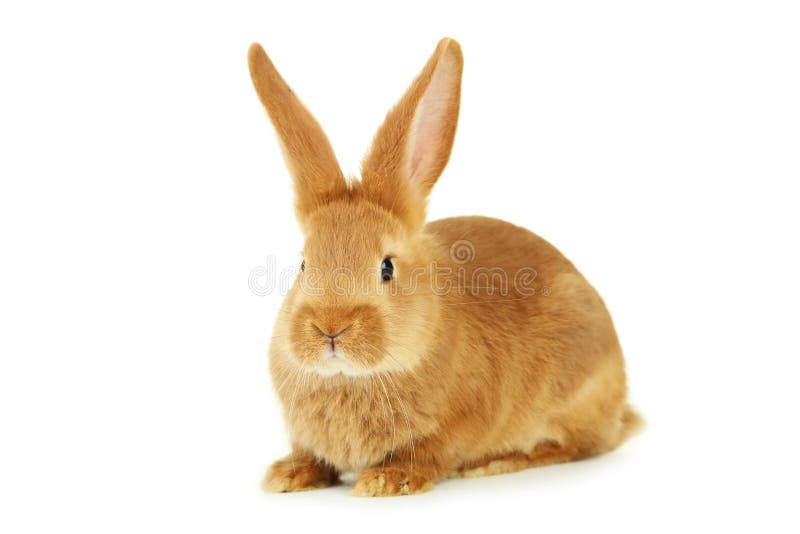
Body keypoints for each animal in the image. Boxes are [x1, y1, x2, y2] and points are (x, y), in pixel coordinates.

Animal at [248, 37, 641, 497]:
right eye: (304, 264)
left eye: (386, 268)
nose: (331, 327)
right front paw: (286, 474)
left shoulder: (460, 423)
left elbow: (429, 453)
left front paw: (386, 481)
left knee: (576, 445)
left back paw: (497, 463)